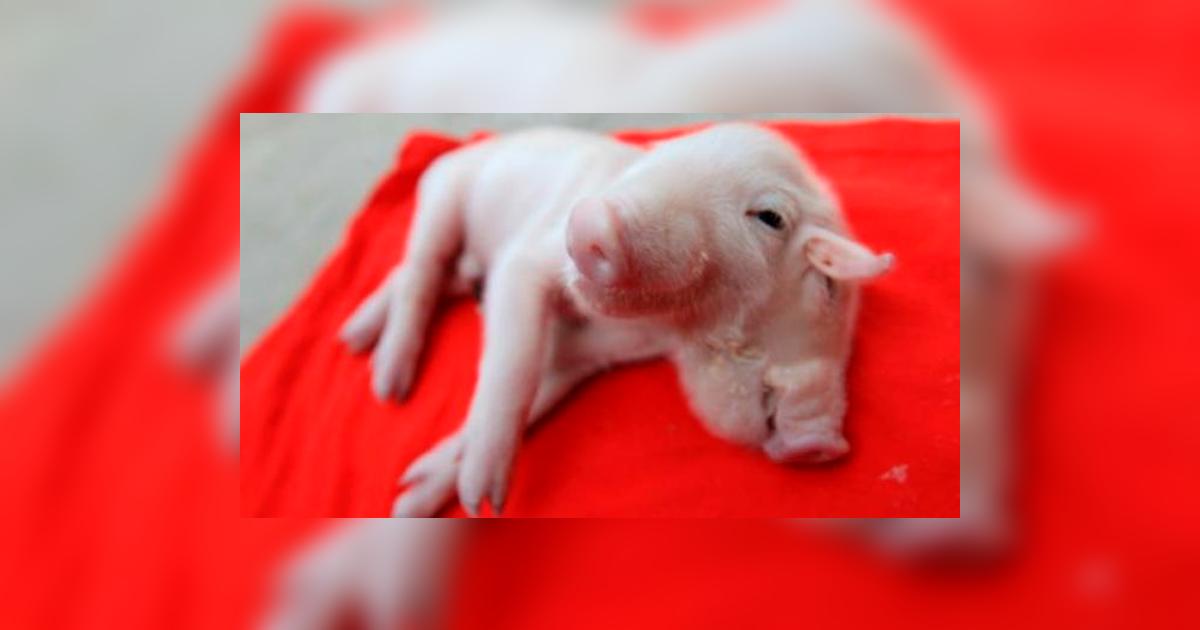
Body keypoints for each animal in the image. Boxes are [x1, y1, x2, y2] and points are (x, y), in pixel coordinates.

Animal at [338, 123, 894, 517]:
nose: (822, 448)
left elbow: (538, 391)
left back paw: (362, 338)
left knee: (431, 274)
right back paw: (386, 379)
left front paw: (415, 495)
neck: (671, 329)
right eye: (771, 217)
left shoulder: (591, 351)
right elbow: (514, 367)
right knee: (420, 265)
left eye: (831, 287)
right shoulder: (527, 260)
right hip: (444, 194)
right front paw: (481, 499)